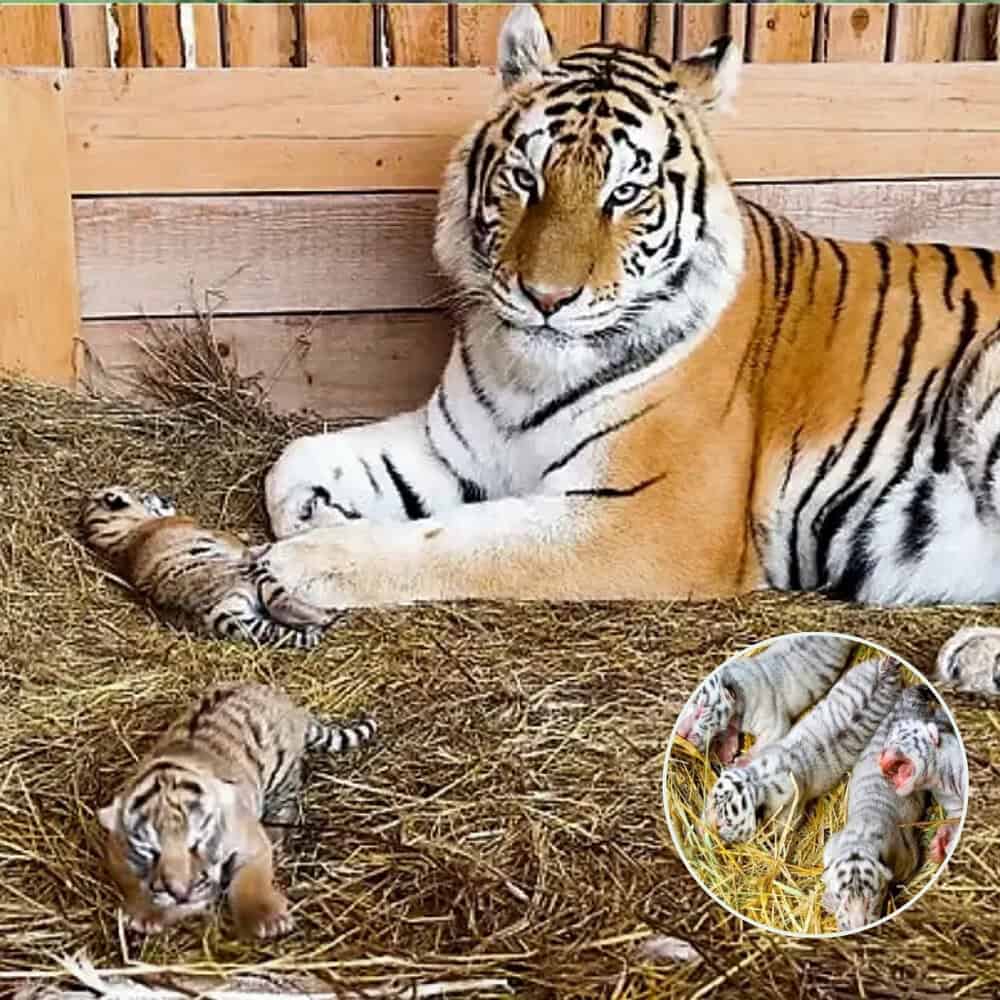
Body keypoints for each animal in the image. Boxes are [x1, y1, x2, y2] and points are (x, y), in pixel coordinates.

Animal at [81, 487, 328, 647]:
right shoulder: (223, 539)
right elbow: (245, 546)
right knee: (280, 603)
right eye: (144, 495)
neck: (120, 536)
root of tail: (213, 610)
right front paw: (263, 546)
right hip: (254, 575)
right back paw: (325, 616)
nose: (167, 497)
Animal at [98, 682, 377, 938]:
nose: (181, 894)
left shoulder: (250, 842)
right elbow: (132, 880)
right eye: (150, 851)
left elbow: (251, 880)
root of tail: (288, 704)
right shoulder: (115, 849)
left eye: (197, 843)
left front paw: (267, 919)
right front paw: (145, 913)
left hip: (281, 773)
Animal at [249, 4, 1000, 620]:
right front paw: (313, 513)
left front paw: (310, 562)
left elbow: (462, 539)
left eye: (626, 194)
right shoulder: (453, 445)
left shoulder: (650, 516)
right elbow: (291, 461)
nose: (546, 297)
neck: (525, 376)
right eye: (526, 178)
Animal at [676, 633, 852, 763]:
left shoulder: (776, 725)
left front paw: (739, 763)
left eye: (701, 709)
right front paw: (725, 752)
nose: (679, 734)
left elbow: (760, 747)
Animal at [704, 656, 901, 845]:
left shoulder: (792, 809)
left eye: (724, 824)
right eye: (713, 801)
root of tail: (887, 670)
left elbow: (784, 827)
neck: (759, 780)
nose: (709, 828)